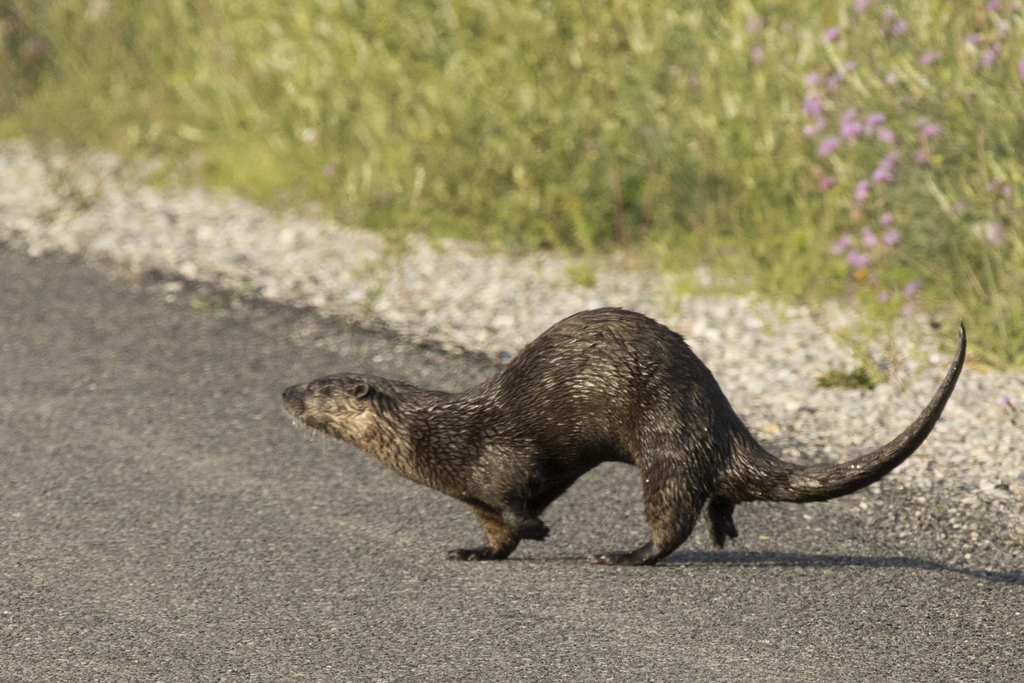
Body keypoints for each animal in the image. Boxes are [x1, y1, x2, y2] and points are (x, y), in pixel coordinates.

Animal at [283, 308, 965, 566]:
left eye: (317, 387)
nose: (285, 392)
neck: (440, 443)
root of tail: (724, 423)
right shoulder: (476, 496)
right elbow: (499, 534)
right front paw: (473, 551)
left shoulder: (495, 463)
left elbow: (519, 504)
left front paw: (544, 530)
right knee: (715, 496)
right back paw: (724, 527)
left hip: (667, 442)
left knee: (671, 519)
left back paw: (625, 554)